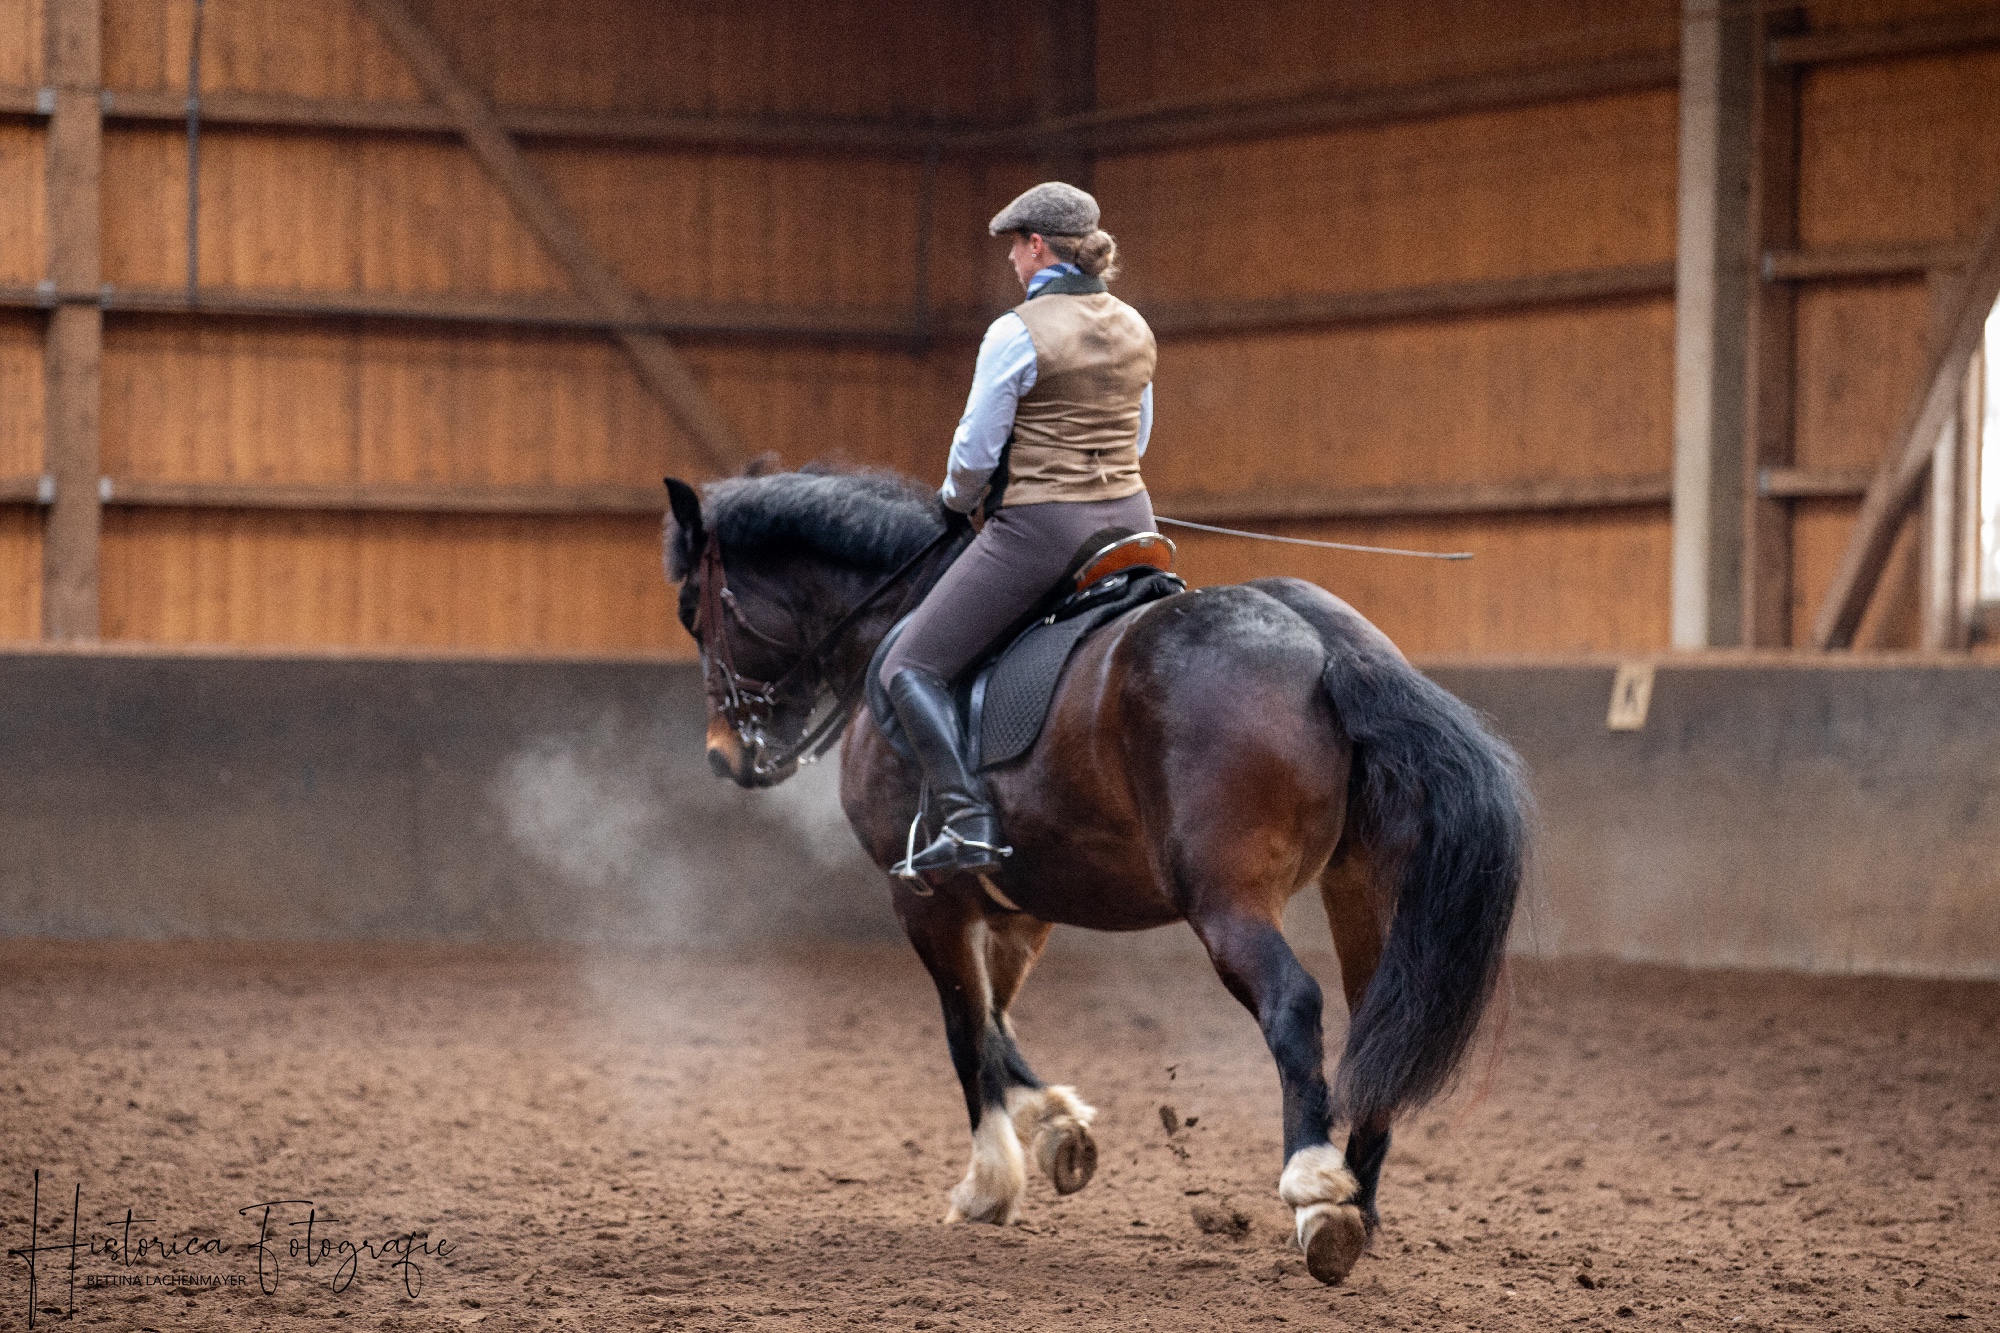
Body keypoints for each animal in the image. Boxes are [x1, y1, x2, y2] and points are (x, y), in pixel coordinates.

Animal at [662, 466, 1528, 1285]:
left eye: (695, 612)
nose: (725, 755)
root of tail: (1327, 644)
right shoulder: (1021, 905)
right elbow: (999, 1018)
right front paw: (1055, 1126)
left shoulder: (925, 899)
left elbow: (965, 1029)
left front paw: (990, 1181)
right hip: (1359, 888)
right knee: (1380, 1012)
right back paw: (1359, 1204)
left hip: (1225, 900)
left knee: (1294, 1002)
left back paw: (1316, 1193)